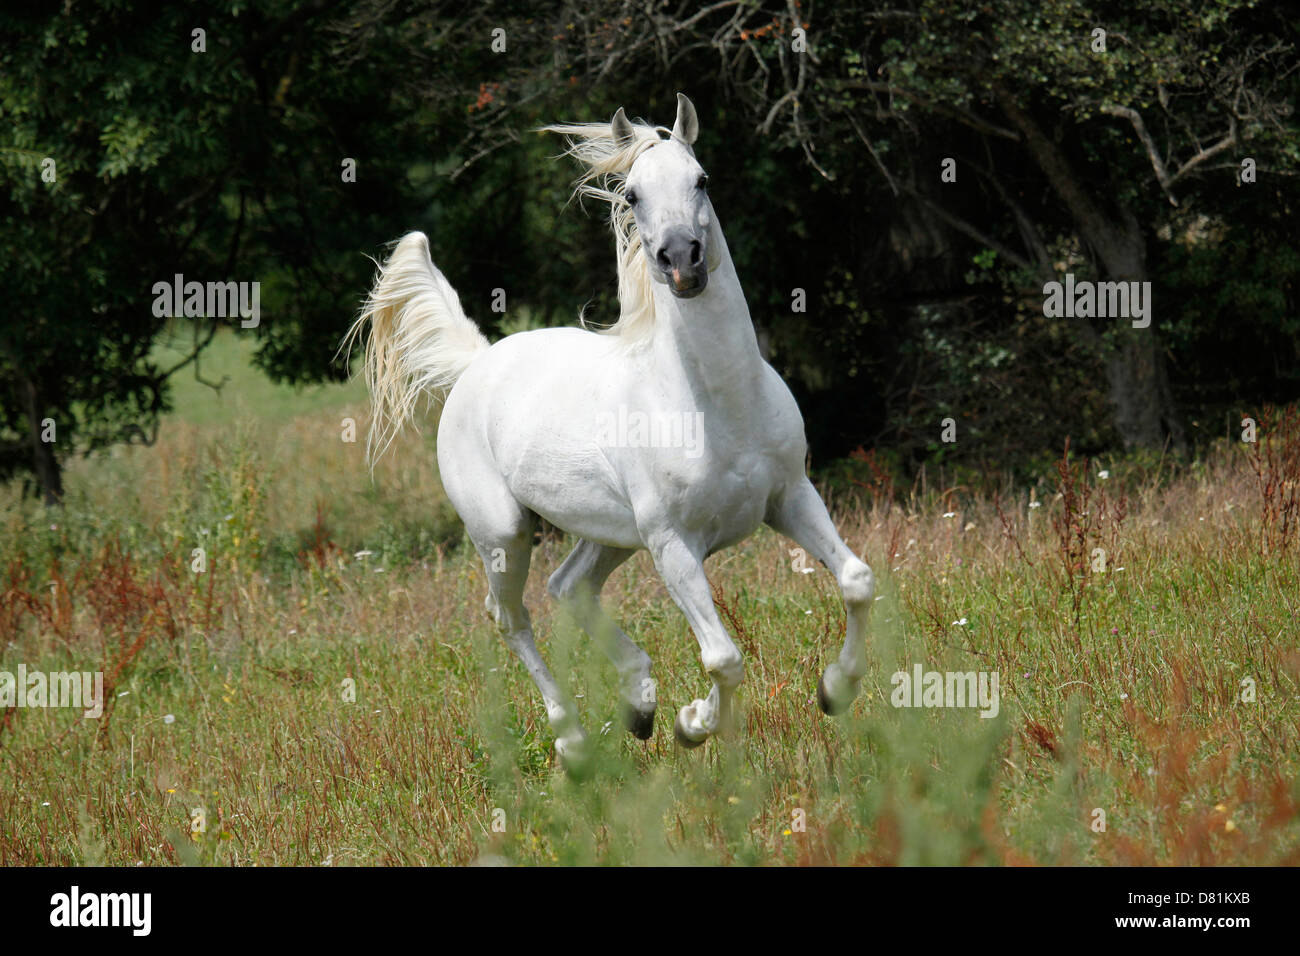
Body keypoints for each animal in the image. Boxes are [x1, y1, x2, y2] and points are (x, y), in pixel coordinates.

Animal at [344, 94, 876, 773]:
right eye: (632, 195)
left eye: (701, 179)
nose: (681, 262)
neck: (715, 404)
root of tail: (477, 365)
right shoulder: (674, 544)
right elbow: (723, 657)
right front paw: (695, 726)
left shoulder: (790, 497)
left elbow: (856, 582)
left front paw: (833, 691)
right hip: (505, 535)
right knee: (511, 615)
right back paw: (572, 740)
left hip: (610, 535)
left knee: (568, 587)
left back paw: (639, 705)